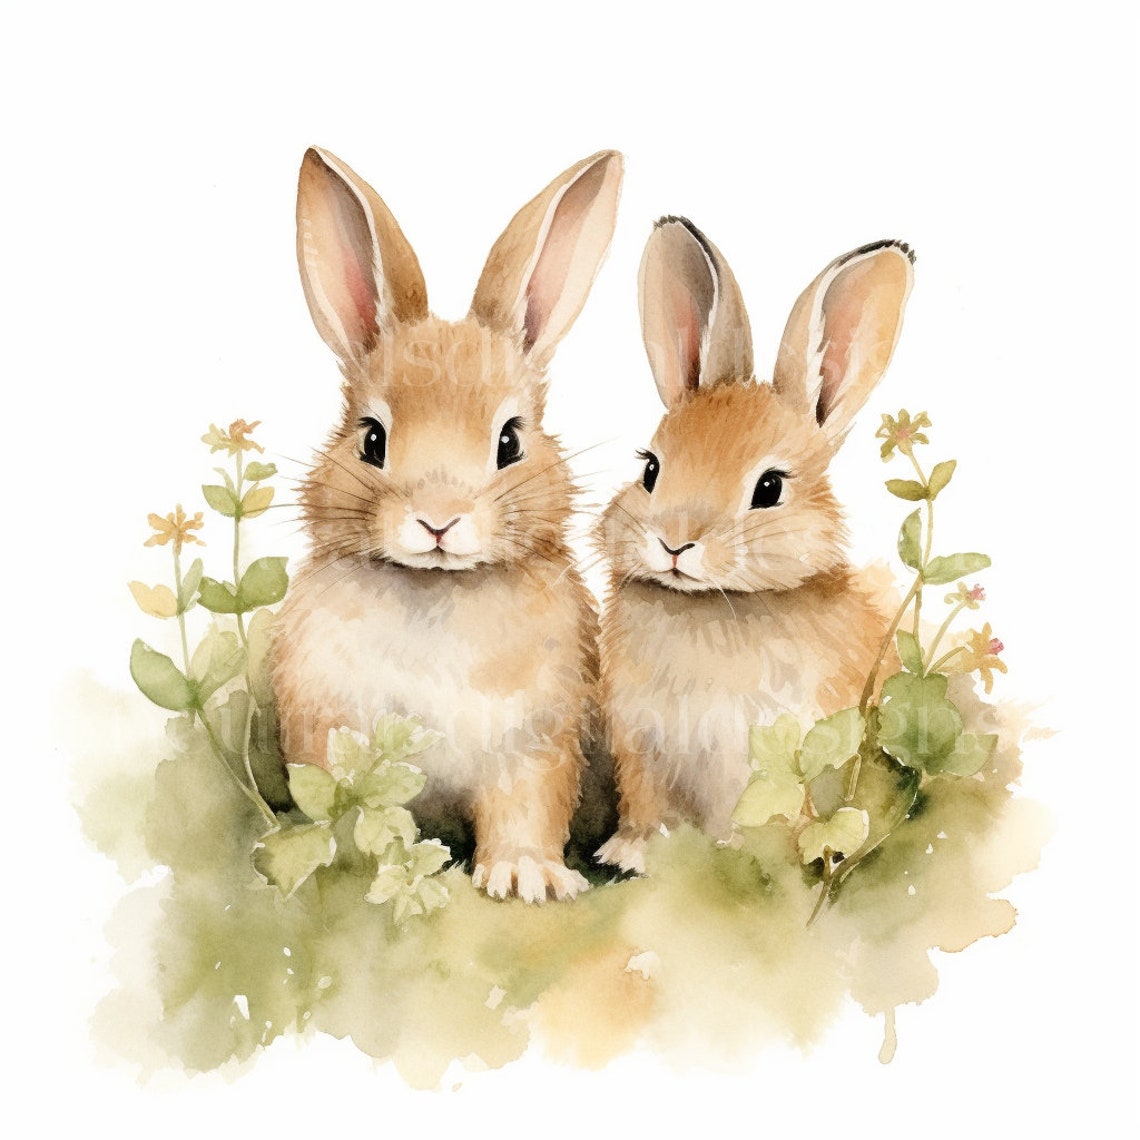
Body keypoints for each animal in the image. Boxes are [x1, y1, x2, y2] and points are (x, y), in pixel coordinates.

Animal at [272, 146, 622, 902]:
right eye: (372, 440)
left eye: (510, 441)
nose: (438, 520)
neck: (438, 590)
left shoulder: (537, 744)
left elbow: (525, 809)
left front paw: (526, 877)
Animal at [595, 217, 914, 874]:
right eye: (651, 469)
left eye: (769, 488)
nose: (674, 544)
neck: (711, 603)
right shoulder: (640, 748)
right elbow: (645, 806)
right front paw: (630, 853)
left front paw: (749, 858)